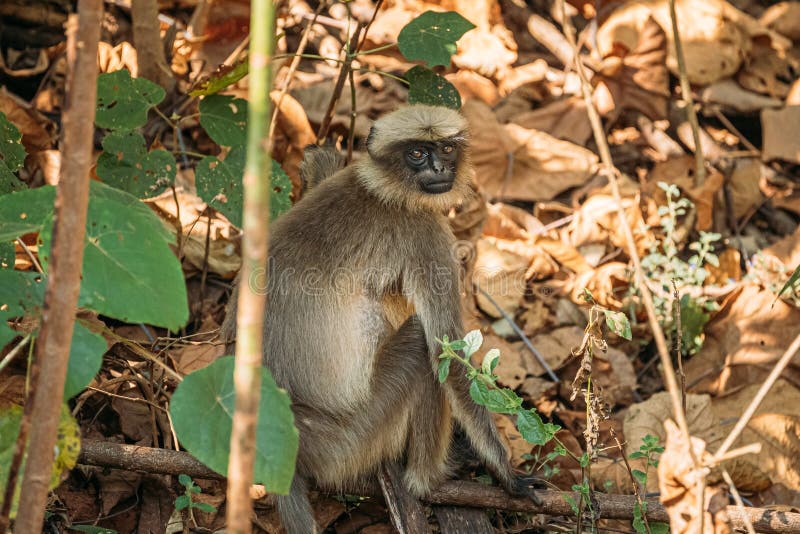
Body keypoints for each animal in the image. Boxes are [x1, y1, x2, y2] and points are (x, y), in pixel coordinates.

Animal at [222, 105, 537, 533]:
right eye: (417, 153)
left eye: (446, 148)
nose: (440, 167)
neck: (383, 188)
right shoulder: (425, 233)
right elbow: (447, 356)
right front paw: (506, 473)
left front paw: (318, 159)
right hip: (355, 436)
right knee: (421, 345)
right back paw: (430, 479)